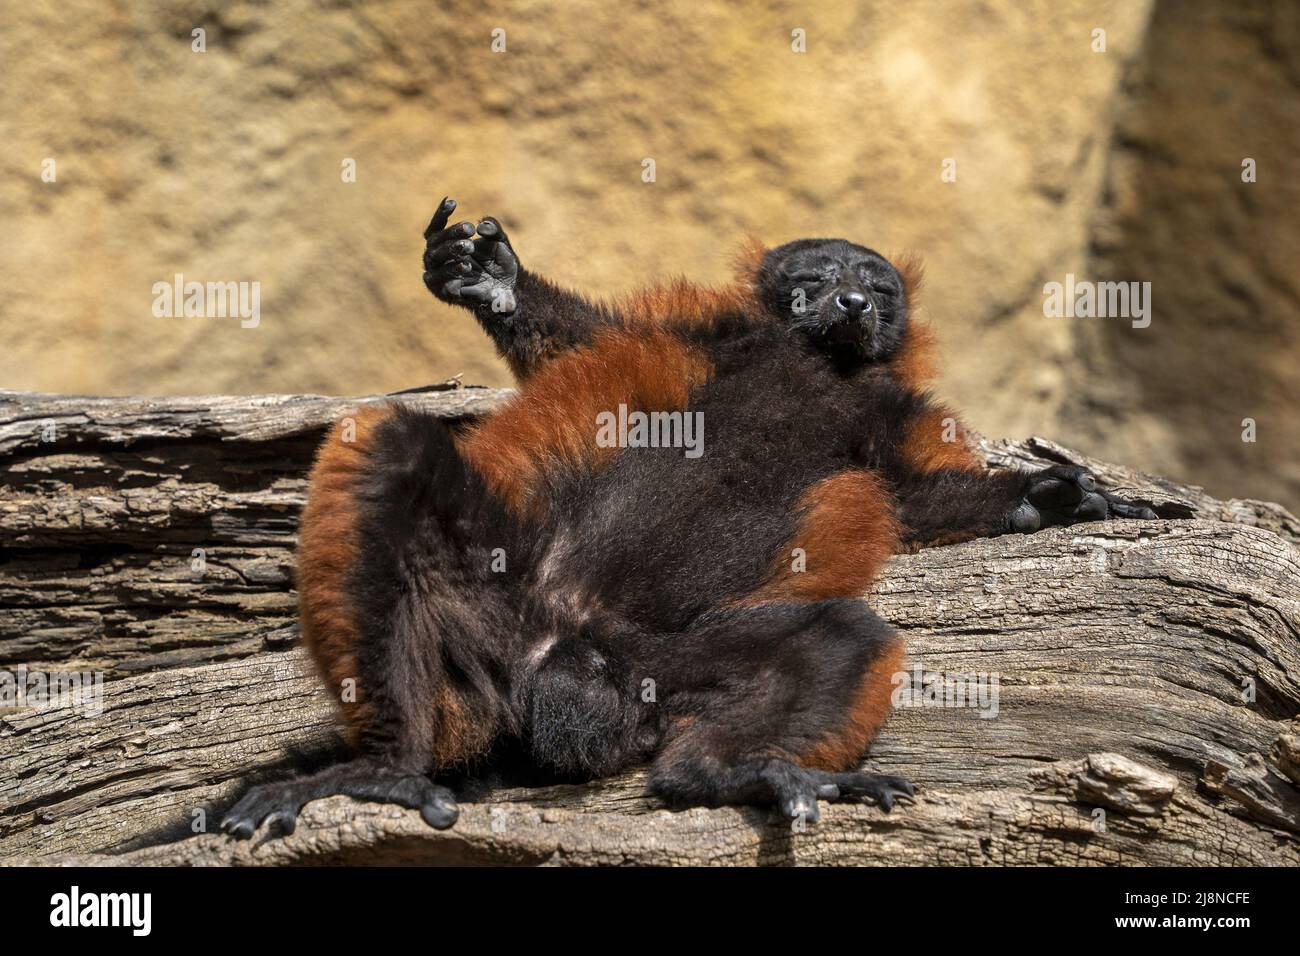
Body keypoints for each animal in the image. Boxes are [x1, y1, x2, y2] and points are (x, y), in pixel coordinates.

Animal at [221, 196, 1162, 838]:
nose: (853, 306)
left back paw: (724, 774)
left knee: (838, 642)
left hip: (656, 666)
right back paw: (385, 767)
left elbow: (915, 499)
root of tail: (563, 656)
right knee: (386, 444)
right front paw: (492, 279)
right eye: (816, 281)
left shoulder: (885, 417)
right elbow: (577, 341)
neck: (821, 366)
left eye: (874, 286)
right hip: (491, 603)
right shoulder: (710, 340)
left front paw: (1048, 497)